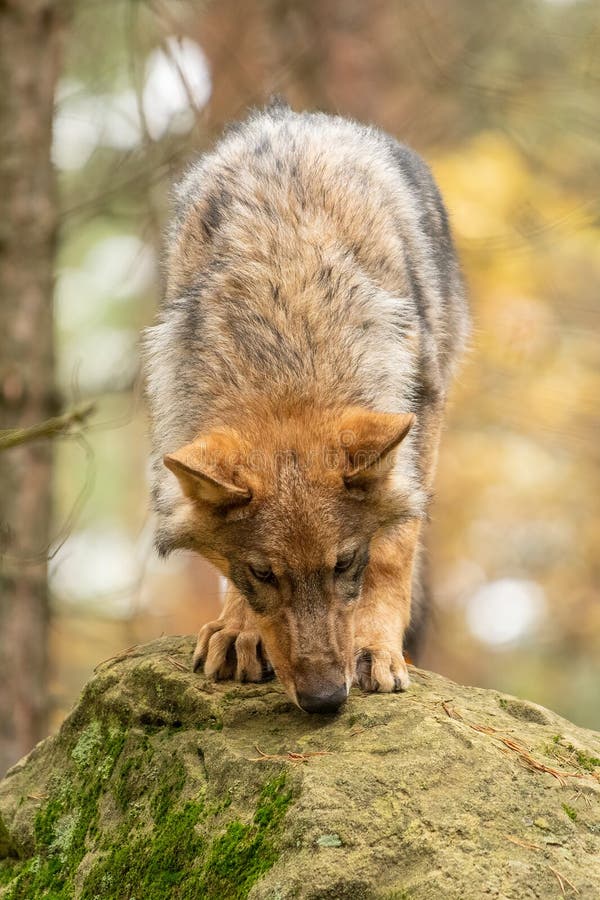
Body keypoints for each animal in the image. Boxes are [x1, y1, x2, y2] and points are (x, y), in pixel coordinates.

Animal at [143, 103, 469, 714]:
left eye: (343, 563)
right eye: (263, 573)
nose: (325, 701)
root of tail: (297, 116)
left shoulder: (420, 412)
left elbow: (394, 549)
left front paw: (374, 646)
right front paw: (240, 629)